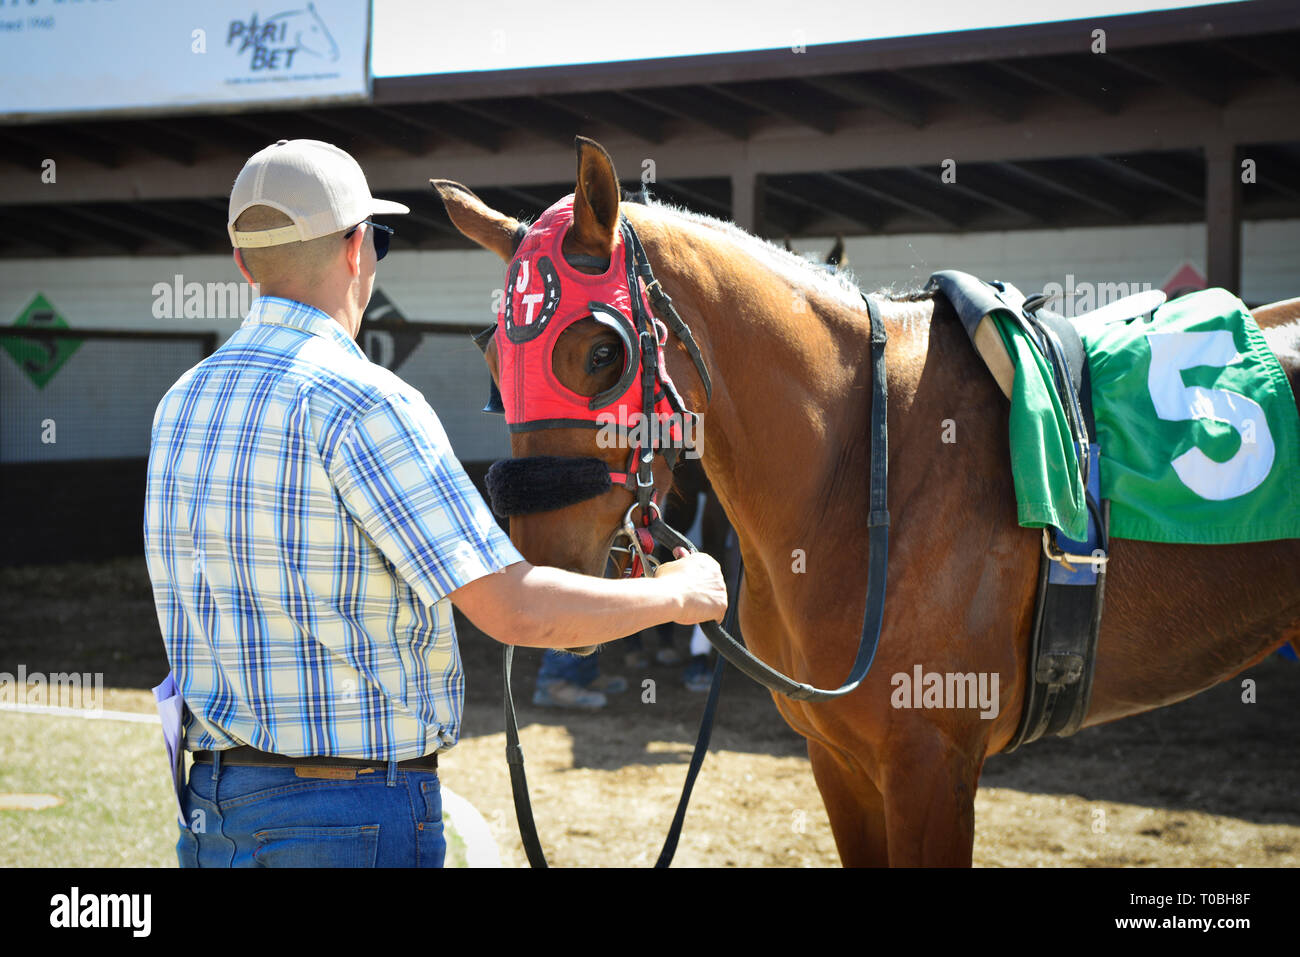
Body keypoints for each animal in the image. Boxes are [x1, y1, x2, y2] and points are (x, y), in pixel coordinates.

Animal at [432, 137, 1300, 866]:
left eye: (602, 352)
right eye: (493, 359)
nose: (542, 567)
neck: (870, 463)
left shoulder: (930, 763)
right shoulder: (842, 760)